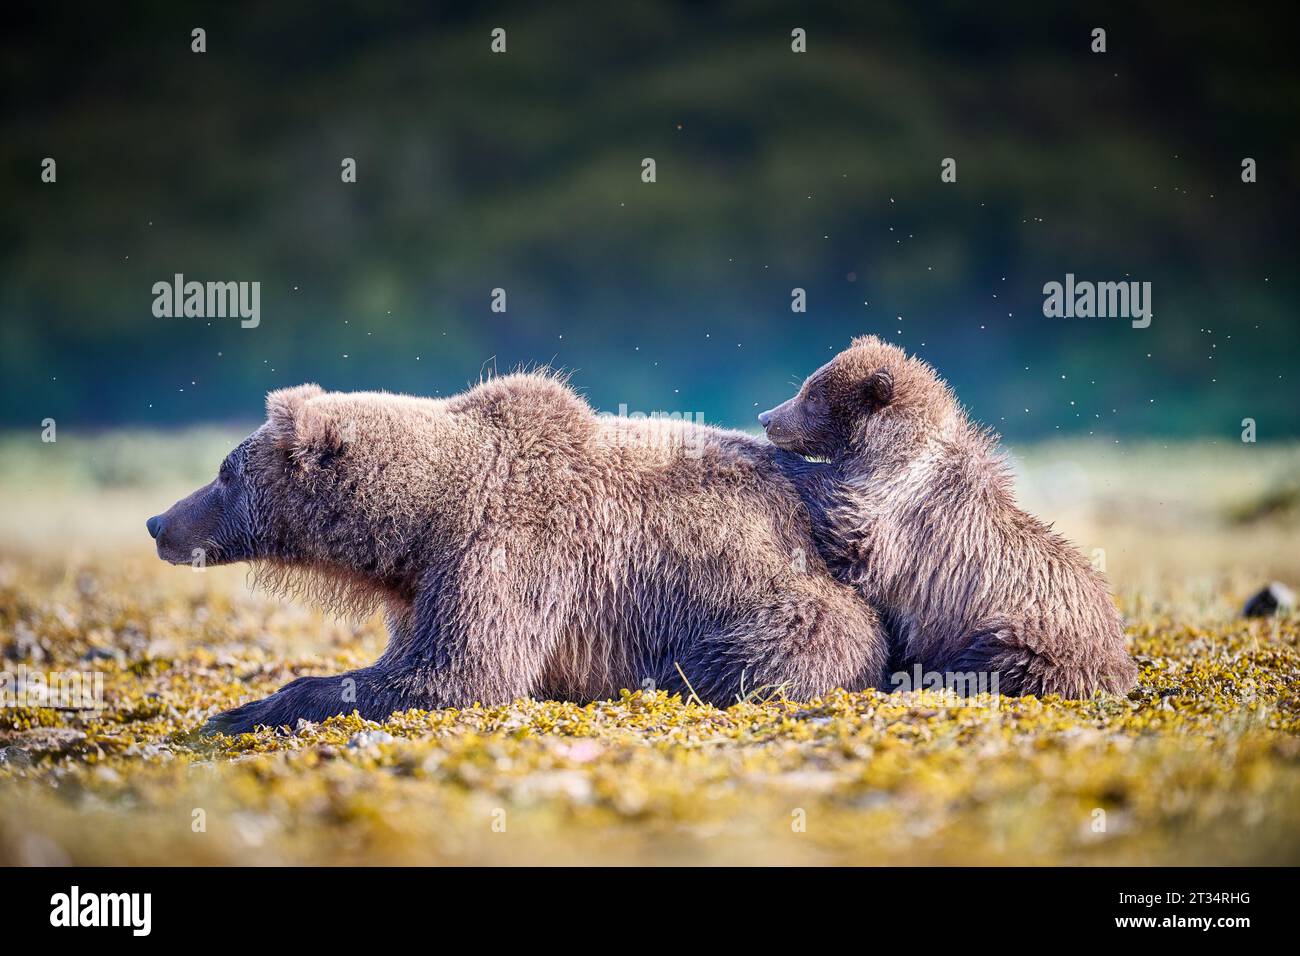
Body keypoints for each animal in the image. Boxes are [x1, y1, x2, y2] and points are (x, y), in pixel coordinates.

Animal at [146, 374, 892, 733]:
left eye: (223, 471)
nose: (158, 521)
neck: (424, 518)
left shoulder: (512, 551)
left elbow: (460, 671)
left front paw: (242, 709)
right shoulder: (424, 583)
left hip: (786, 596)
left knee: (766, 650)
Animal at [758, 335, 1138, 698]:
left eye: (812, 395)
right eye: (807, 386)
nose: (766, 418)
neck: (889, 451)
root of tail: (1119, 660)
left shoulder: (896, 516)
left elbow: (846, 528)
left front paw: (780, 460)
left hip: (1028, 634)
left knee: (996, 658)